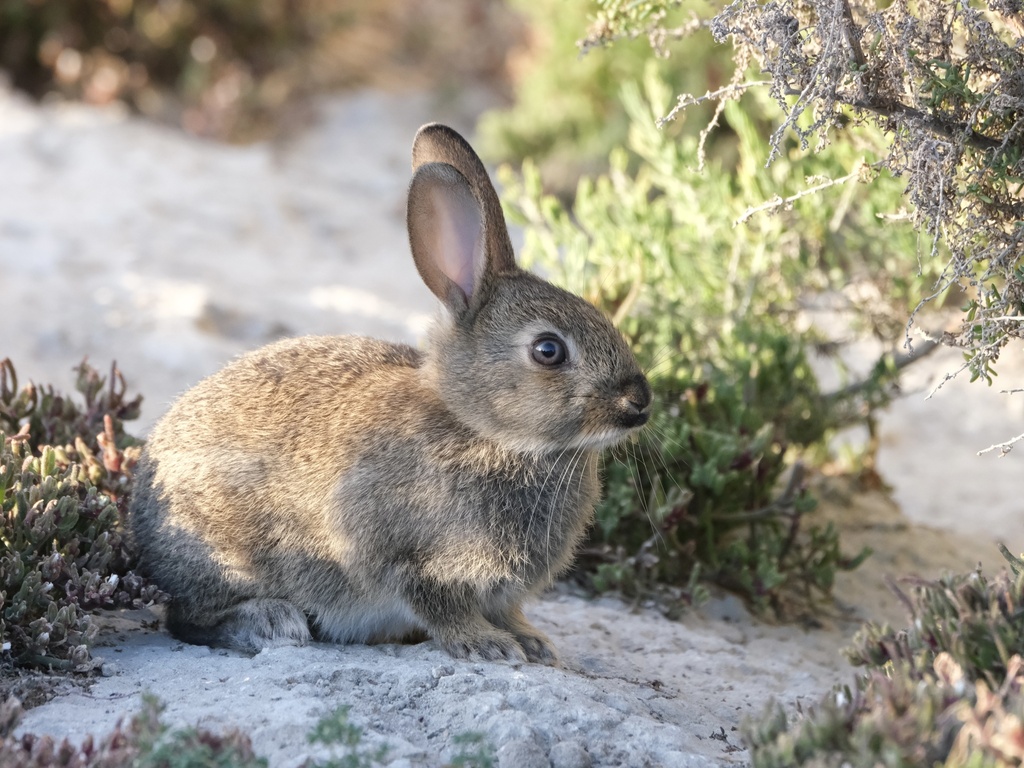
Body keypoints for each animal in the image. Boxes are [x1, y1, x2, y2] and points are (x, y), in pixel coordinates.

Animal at [127, 123, 652, 665]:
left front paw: (532, 642)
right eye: (549, 350)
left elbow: (507, 610)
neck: (482, 430)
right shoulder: (407, 558)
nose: (639, 403)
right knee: (186, 617)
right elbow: (438, 603)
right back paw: (270, 621)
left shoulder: (499, 589)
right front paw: (487, 645)